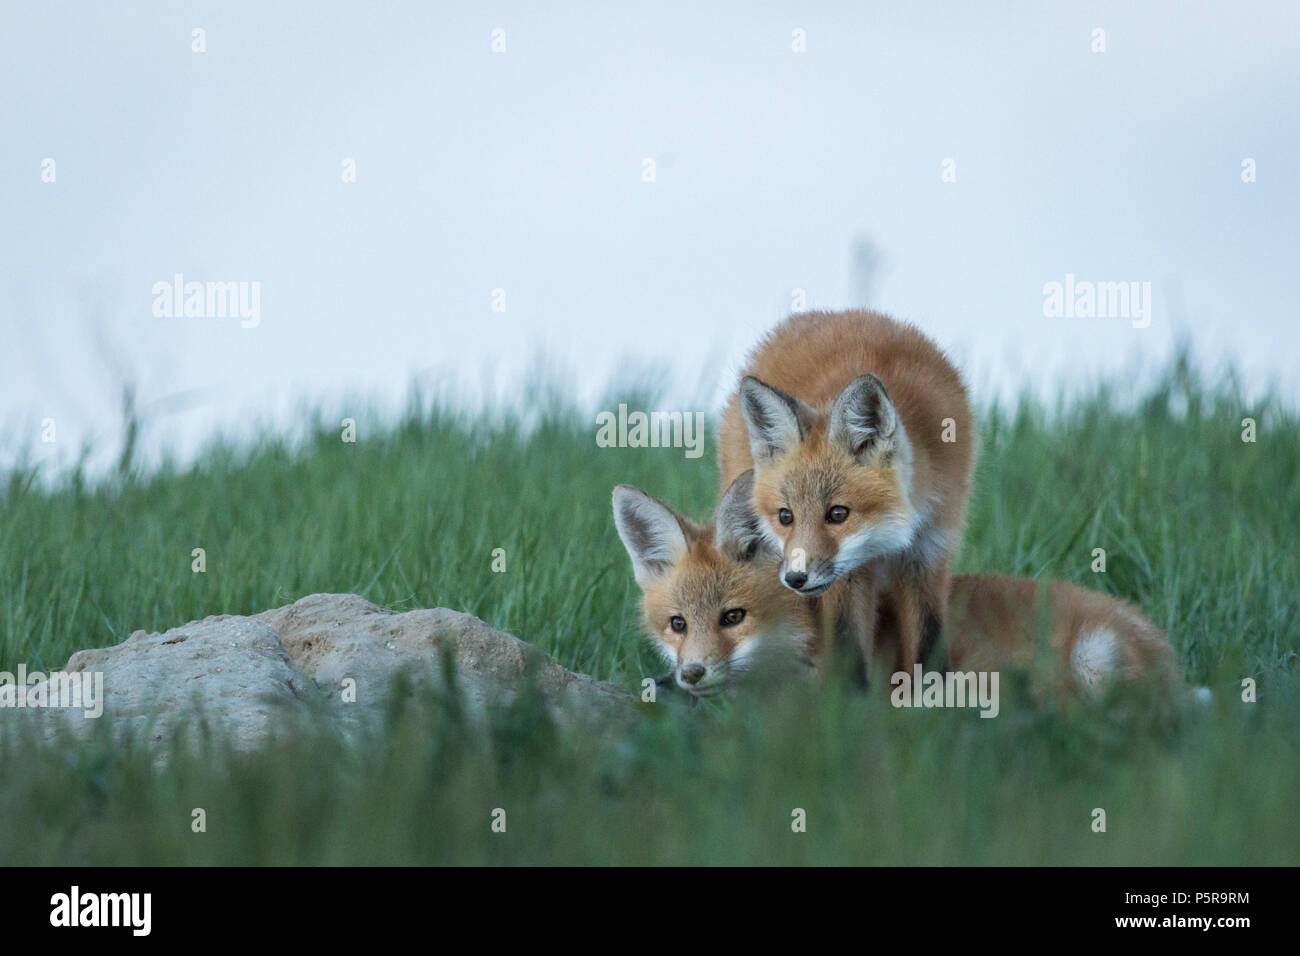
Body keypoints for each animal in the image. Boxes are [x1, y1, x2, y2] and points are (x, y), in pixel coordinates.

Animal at [718, 309, 976, 682]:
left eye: (838, 514)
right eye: (785, 516)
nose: (796, 578)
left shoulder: (930, 550)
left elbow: (929, 640)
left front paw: (937, 693)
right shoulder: (848, 577)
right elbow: (849, 651)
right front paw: (850, 698)